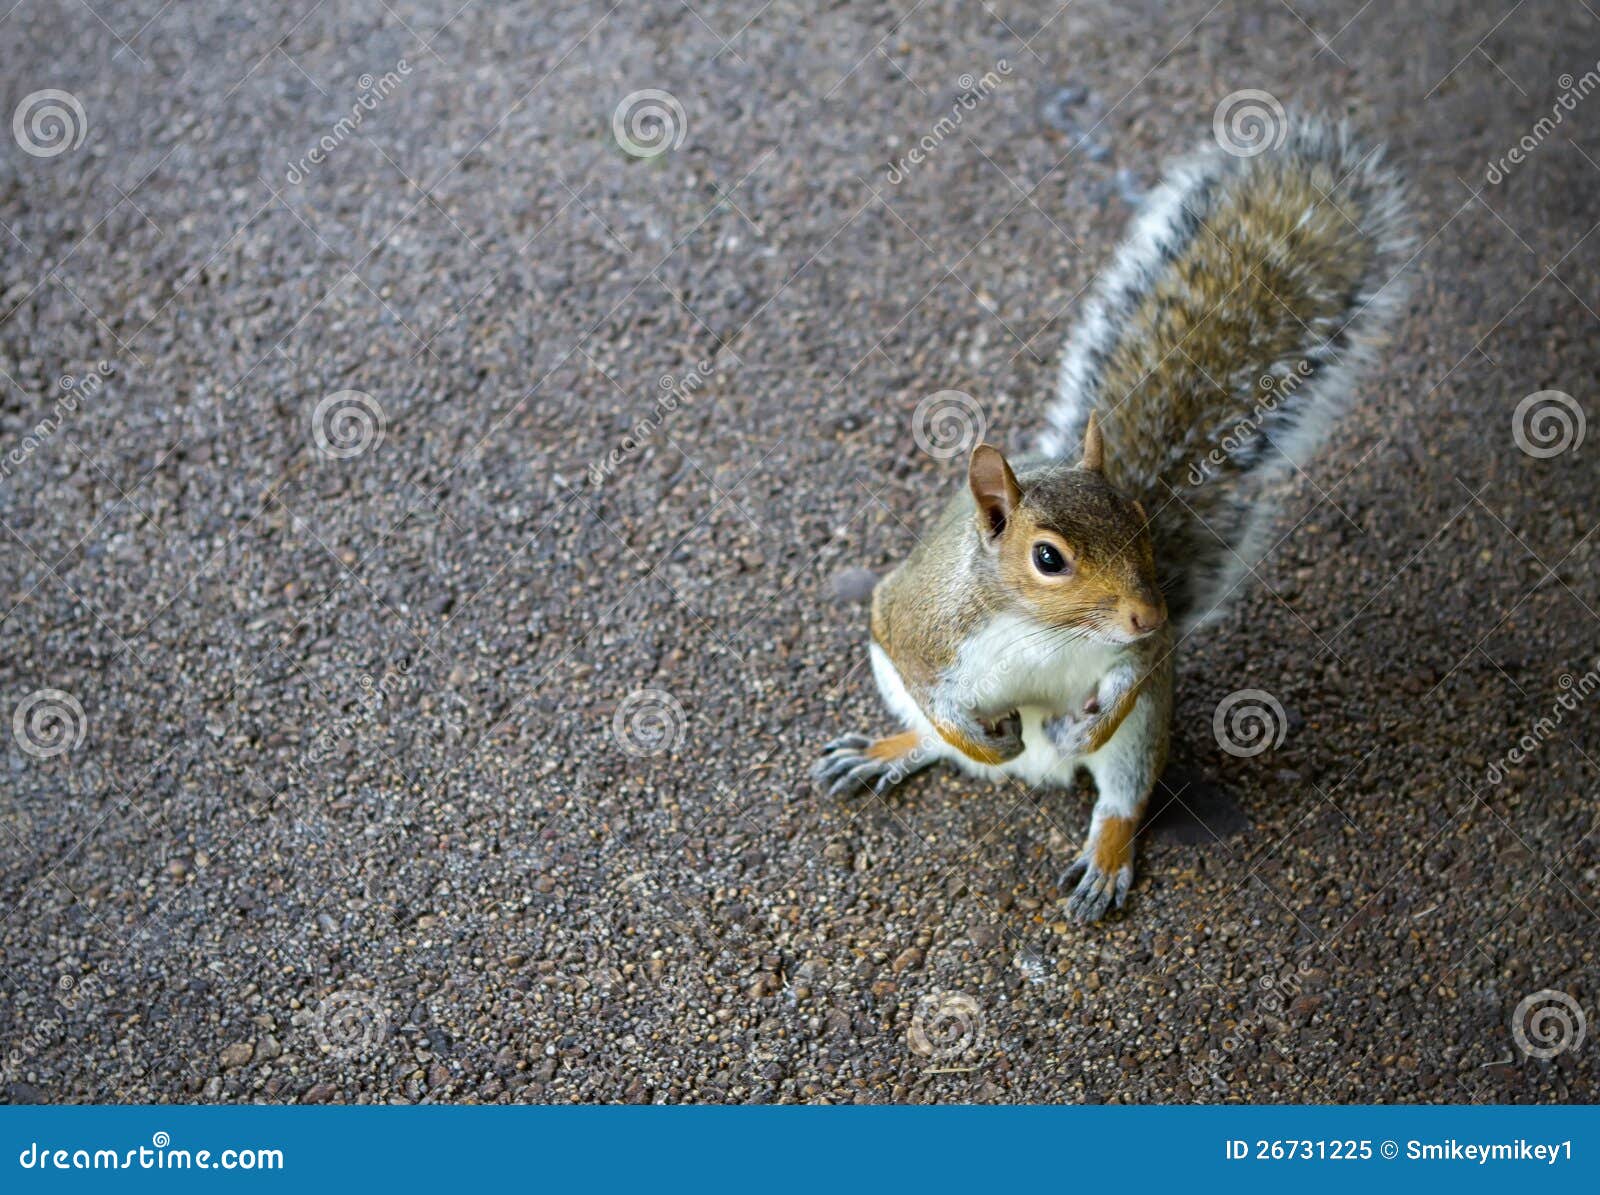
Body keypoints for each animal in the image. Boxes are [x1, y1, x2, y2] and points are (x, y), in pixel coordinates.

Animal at [815, 114, 1412, 922]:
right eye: (1047, 557)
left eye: (1142, 523)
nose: (1148, 611)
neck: (1040, 628)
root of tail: (1040, 775)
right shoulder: (916, 621)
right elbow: (935, 694)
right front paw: (984, 739)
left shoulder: (1144, 657)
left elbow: (1134, 672)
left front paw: (1085, 719)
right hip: (891, 683)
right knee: (935, 740)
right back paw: (895, 751)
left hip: (1145, 730)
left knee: (1122, 797)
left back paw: (1102, 852)